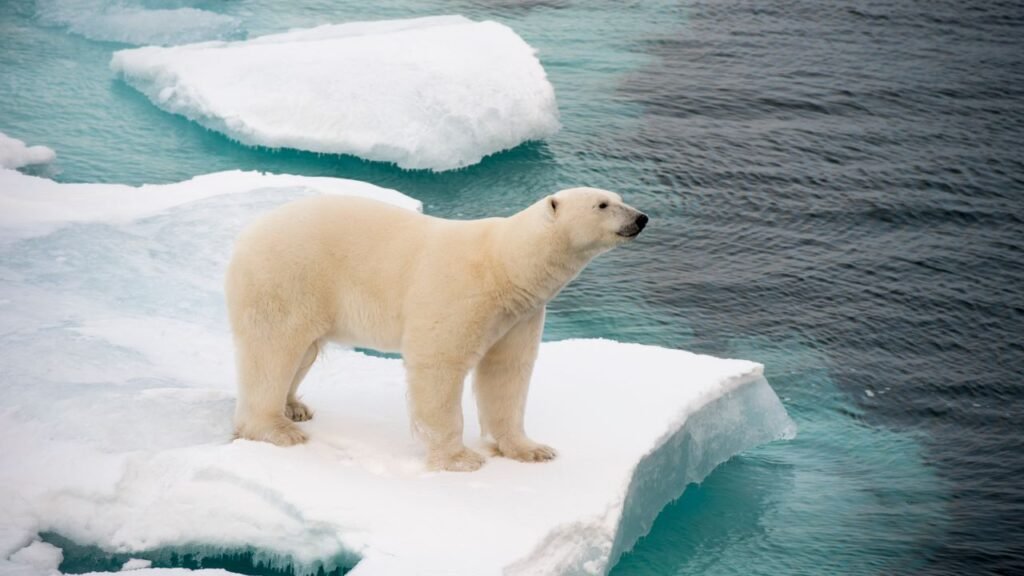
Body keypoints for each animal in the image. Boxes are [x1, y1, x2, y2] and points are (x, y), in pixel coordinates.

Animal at [225, 187, 648, 471]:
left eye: (619, 196)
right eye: (602, 204)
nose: (641, 218)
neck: (505, 265)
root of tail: (247, 234)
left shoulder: (519, 315)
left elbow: (507, 373)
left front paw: (531, 449)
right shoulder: (460, 292)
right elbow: (439, 364)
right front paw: (460, 458)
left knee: (303, 351)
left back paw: (294, 407)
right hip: (287, 277)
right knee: (274, 348)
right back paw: (276, 428)